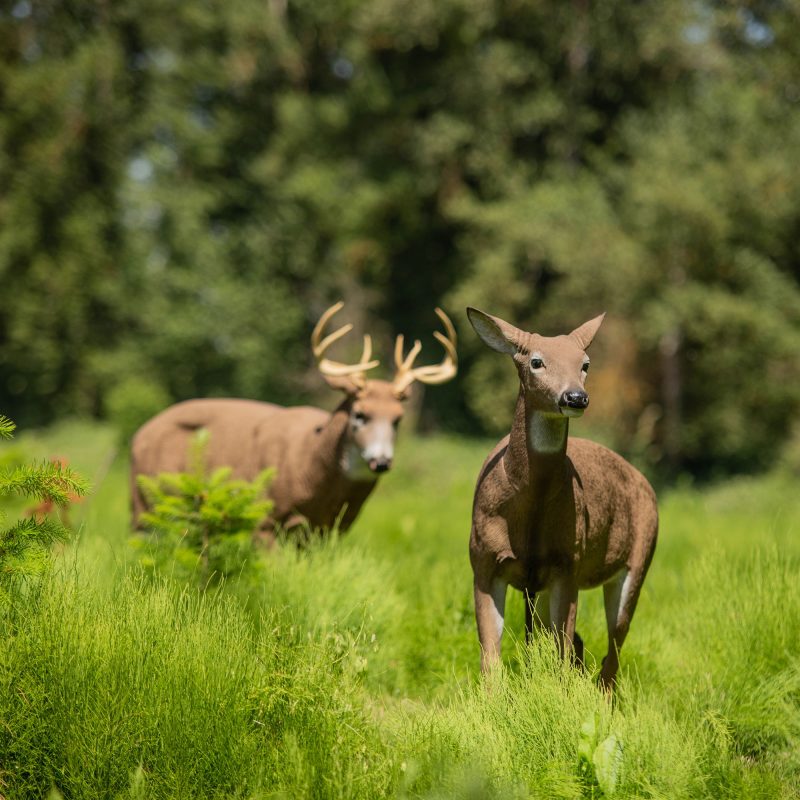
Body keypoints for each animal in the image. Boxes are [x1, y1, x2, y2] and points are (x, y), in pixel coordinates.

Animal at [130, 302, 457, 539]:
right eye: (359, 414)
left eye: (398, 419)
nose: (381, 461)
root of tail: (138, 435)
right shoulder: (266, 519)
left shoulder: (333, 528)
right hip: (143, 500)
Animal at [466, 307, 658, 690]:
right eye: (536, 361)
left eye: (585, 363)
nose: (575, 397)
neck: (529, 506)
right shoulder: (483, 561)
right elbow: (491, 654)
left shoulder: (568, 562)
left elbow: (560, 648)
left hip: (640, 557)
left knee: (610, 650)